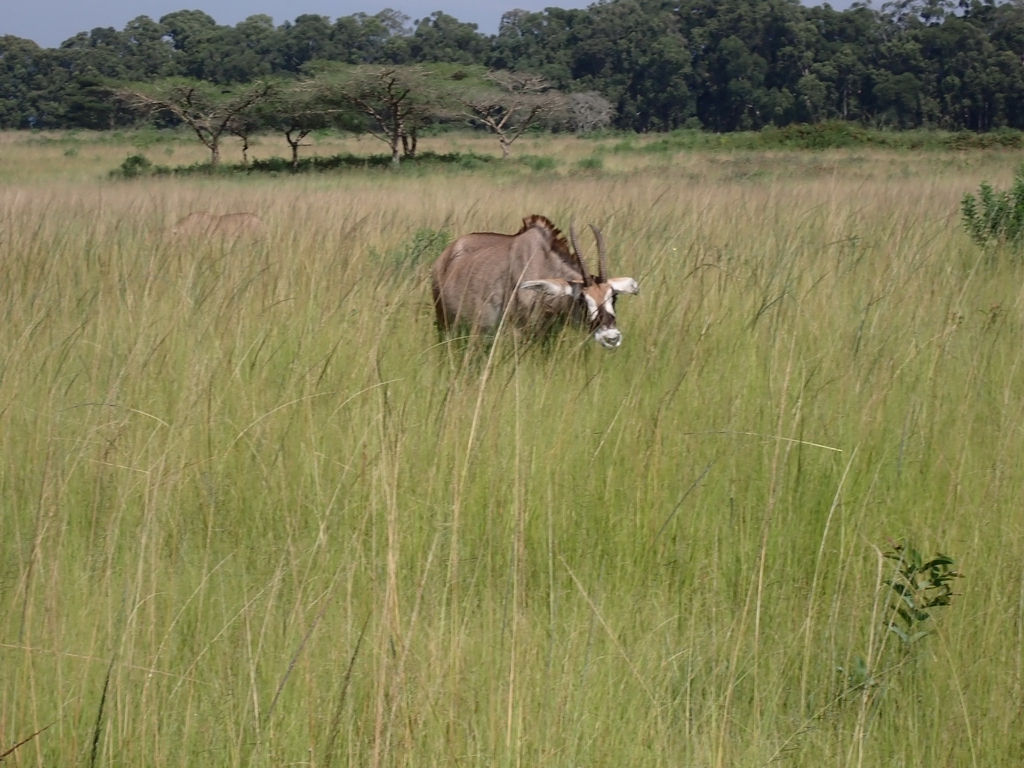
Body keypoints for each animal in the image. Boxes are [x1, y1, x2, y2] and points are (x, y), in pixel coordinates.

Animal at [431, 215, 638, 348]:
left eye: (614, 296)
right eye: (582, 299)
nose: (611, 337)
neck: (543, 262)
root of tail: (446, 255)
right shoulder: (517, 333)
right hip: (445, 323)